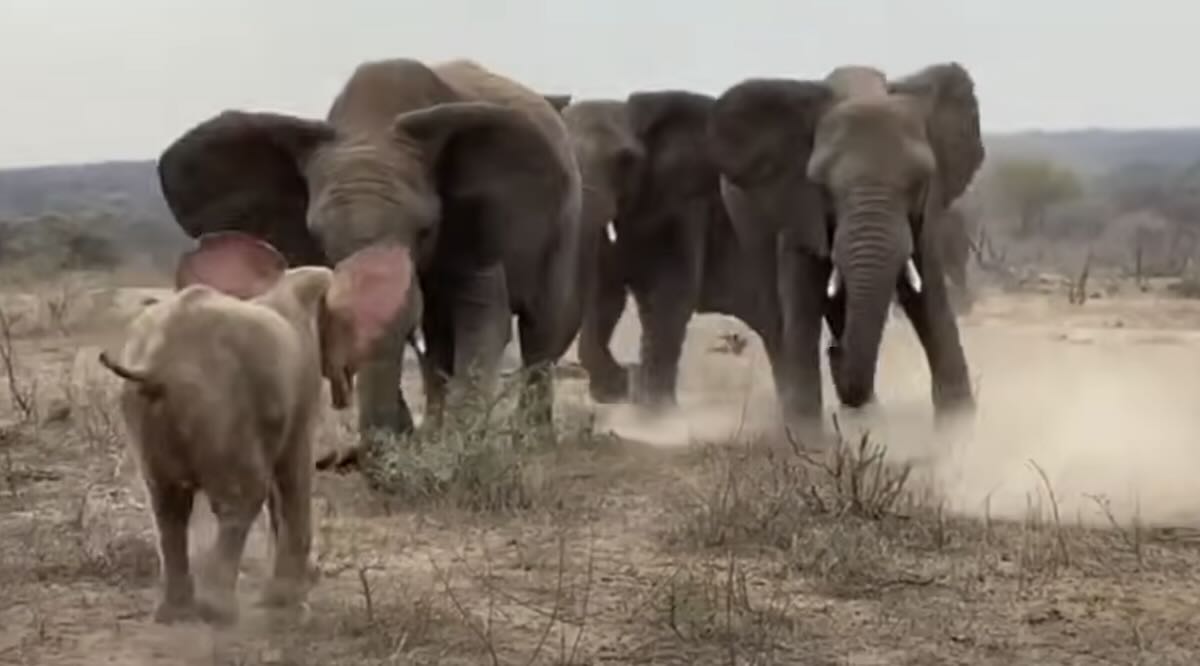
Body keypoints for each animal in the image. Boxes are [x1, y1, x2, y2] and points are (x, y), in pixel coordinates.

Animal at [98, 231, 411, 624]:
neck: (289, 285)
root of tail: (156, 368)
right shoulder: (303, 386)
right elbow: (293, 474)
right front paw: (290, 603)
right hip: (219, 408)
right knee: (240, 496)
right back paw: (218, 613)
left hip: (145, 415)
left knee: (168, 505)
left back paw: (175, 614)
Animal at [156, 59, 589, 464]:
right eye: (318, 237)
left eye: (425, 230)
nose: (349, 456)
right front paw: (428, 445)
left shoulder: (474, 223)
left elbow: (482, 317)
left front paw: (458, 453)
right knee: (439, 336)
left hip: (566, 227)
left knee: (541, 329)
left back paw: (533, 444)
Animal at [708, 63, 985, 439]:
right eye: (822, 184)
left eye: (920, 181)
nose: (834, 351)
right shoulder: (798, 205)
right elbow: (802, 301)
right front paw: (807, 442)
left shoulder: (928, 211)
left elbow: (930, 299)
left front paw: (958, 434)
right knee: (775, 315)